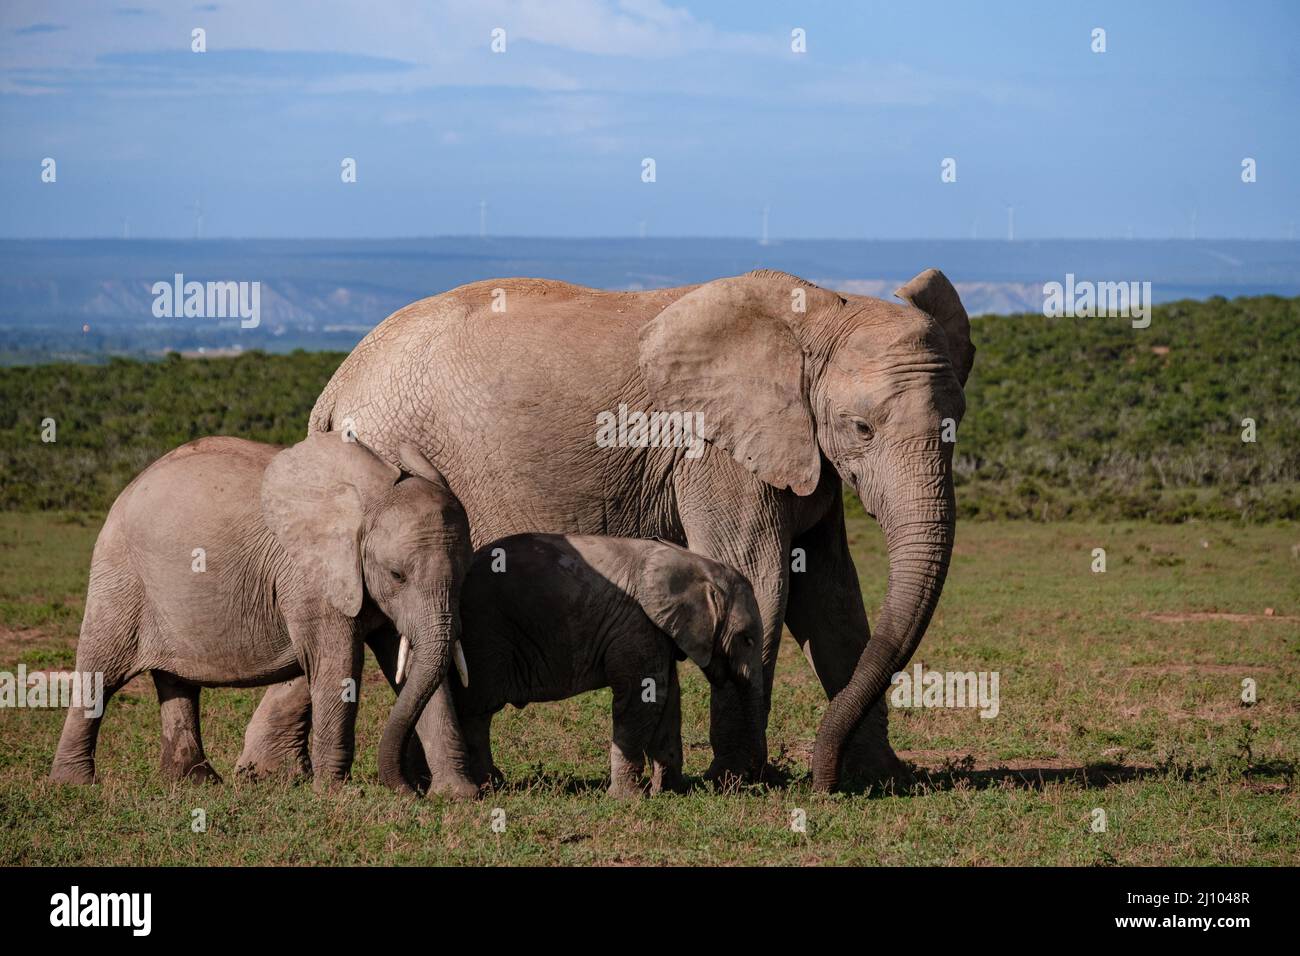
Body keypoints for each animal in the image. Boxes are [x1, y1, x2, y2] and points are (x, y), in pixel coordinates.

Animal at [49, 432, 473, 793]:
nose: (406, 788)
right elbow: (338, 663)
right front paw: (336, 794)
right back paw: (74, 785)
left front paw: (456, 796)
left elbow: (414, 665)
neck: (369, 494)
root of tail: (128, 488)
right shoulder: (307, 576)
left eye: (464, 574)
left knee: (176, 680)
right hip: (119, 574)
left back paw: (194, 783)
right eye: (397, 574)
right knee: (102, 671)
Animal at [246, 267, 974, 792]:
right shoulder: (712, 448)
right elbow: (761, 577)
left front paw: (880, 779)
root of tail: (333, 389)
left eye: (956, 423)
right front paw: (741, 783)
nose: (815, 780)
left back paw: (273, 776)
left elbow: (833, 600)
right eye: (861, 428)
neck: (821, 309)